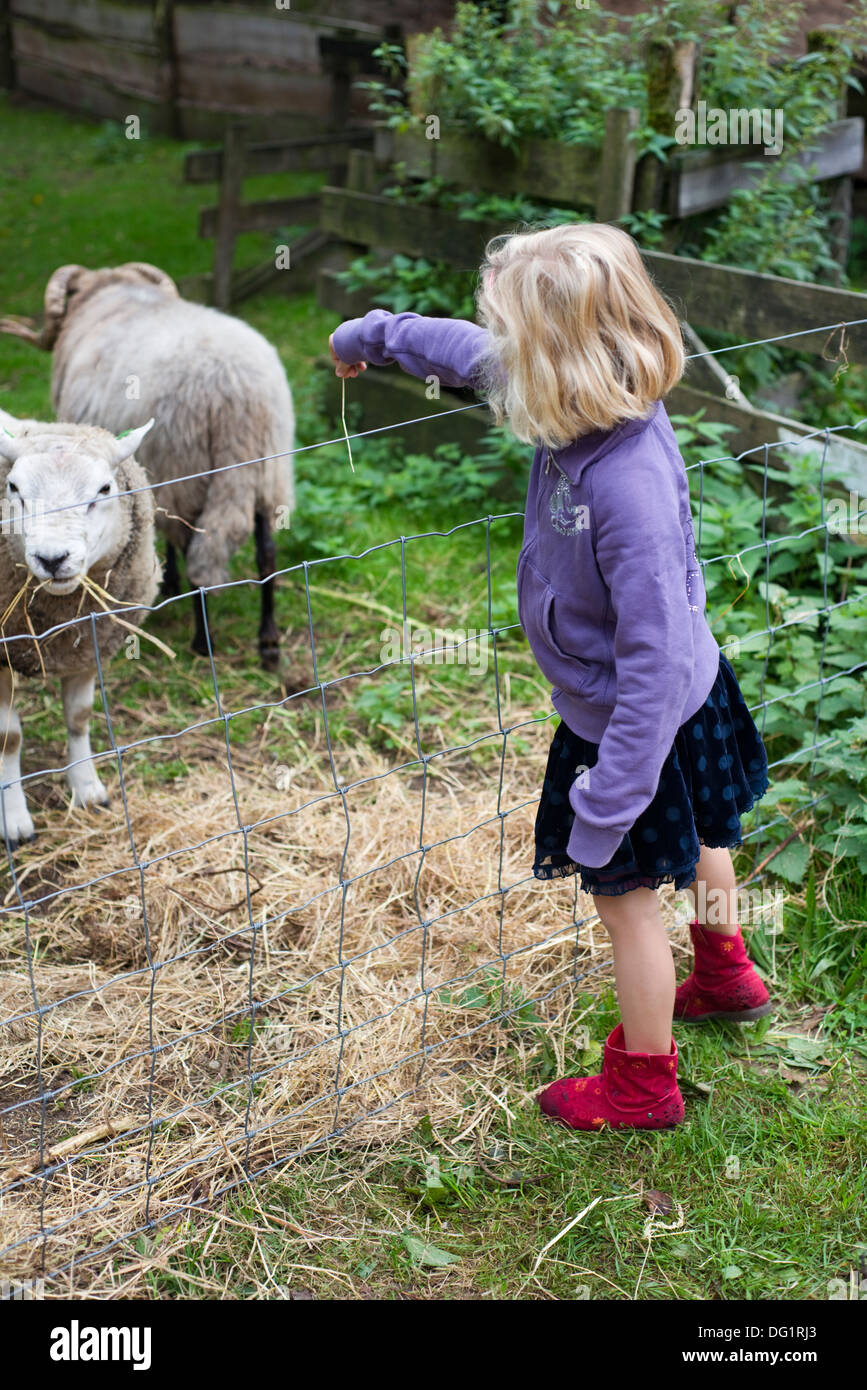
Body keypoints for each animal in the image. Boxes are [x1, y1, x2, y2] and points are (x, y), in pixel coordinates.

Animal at [0, 262, 295, 669]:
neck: (115, 293)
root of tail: (235, 391)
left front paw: (168, 581)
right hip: (267, 473)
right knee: (266, 554)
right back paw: (268, 642)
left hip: (185, 468)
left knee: (196, 550)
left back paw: (203, 641)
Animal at [0, 411, 159, 848]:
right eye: (13, 488)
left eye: (104, 489)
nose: (53, 558)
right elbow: (10, 740)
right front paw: (14, 821)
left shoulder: (88, 644)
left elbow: (79, 717)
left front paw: (88, 789)